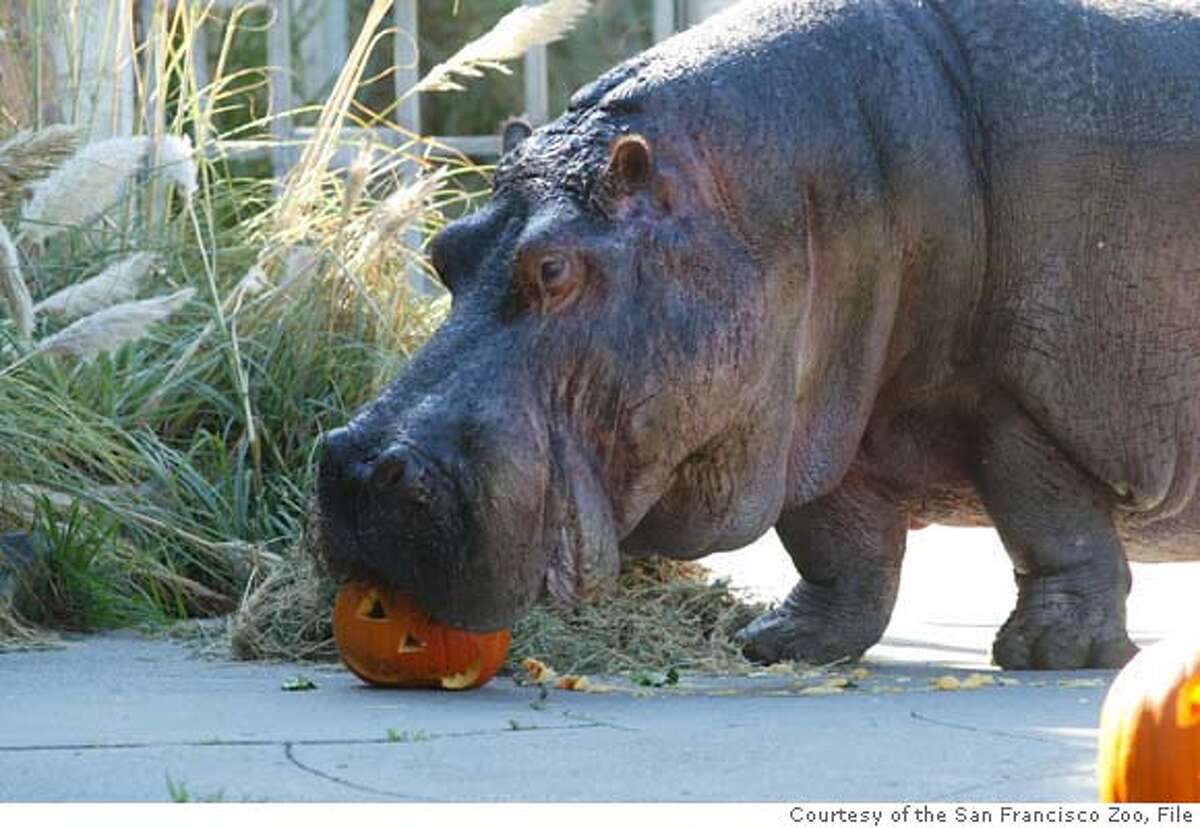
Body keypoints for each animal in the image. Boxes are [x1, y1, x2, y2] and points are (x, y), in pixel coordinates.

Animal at [315, 0, 1200, 670]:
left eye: (554, 268)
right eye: (443, 249)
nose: (356, 468)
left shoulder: (1017, 397)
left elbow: (1046, 514)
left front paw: (1051, 654)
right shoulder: (817, 407)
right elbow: (834, 538)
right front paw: (779, 643)